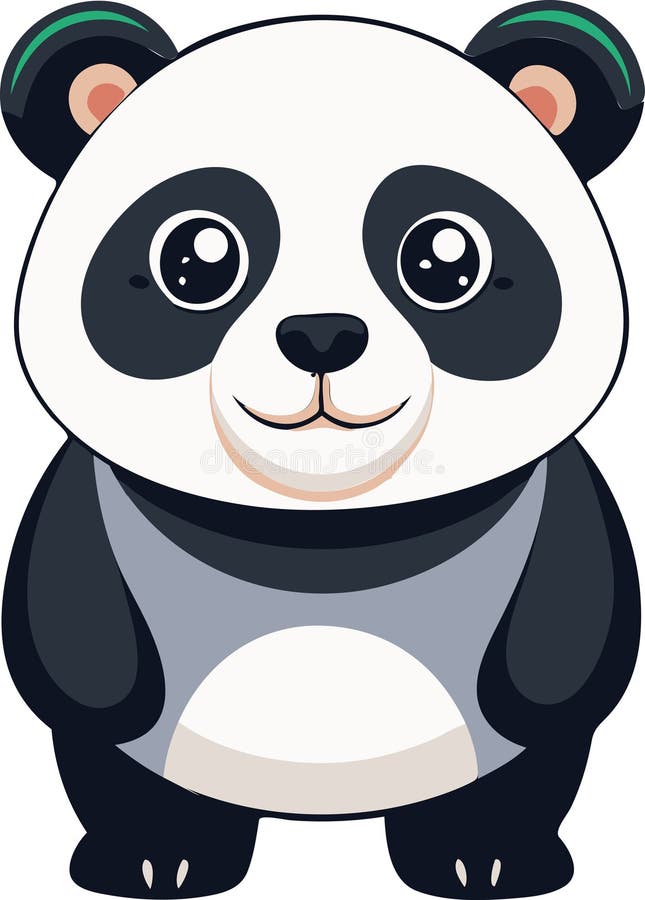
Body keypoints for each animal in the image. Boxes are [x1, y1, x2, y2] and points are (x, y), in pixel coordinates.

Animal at [1, 1, 641, 897]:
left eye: (444, 256)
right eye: (195, 257)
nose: (321, 336)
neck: (322, 532)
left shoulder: (554, 500)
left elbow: (572, 641)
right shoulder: (88, 500)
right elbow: (69, 642)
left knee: (519, 779)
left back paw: (482, 859)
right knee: (123, 778)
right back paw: (159, 859)